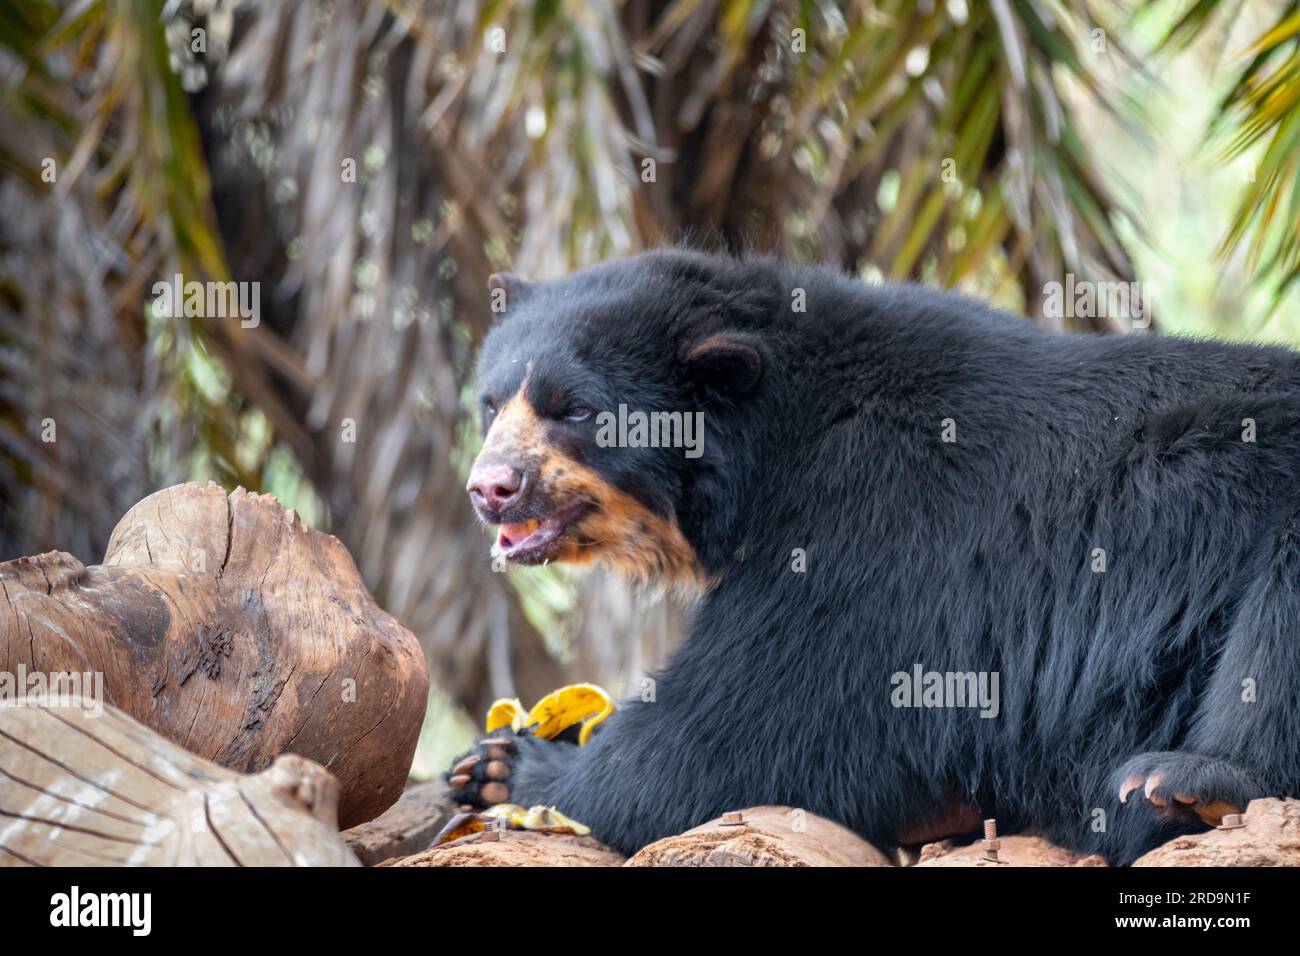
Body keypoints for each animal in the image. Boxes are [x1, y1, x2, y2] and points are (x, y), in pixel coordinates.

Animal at [449, 248, 1299, 865]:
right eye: (491, 405)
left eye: (573, 411)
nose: (489, 489)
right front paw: (495, 755)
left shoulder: (870, 531)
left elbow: (739, 730)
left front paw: (511, 765)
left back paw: (1185, 783)